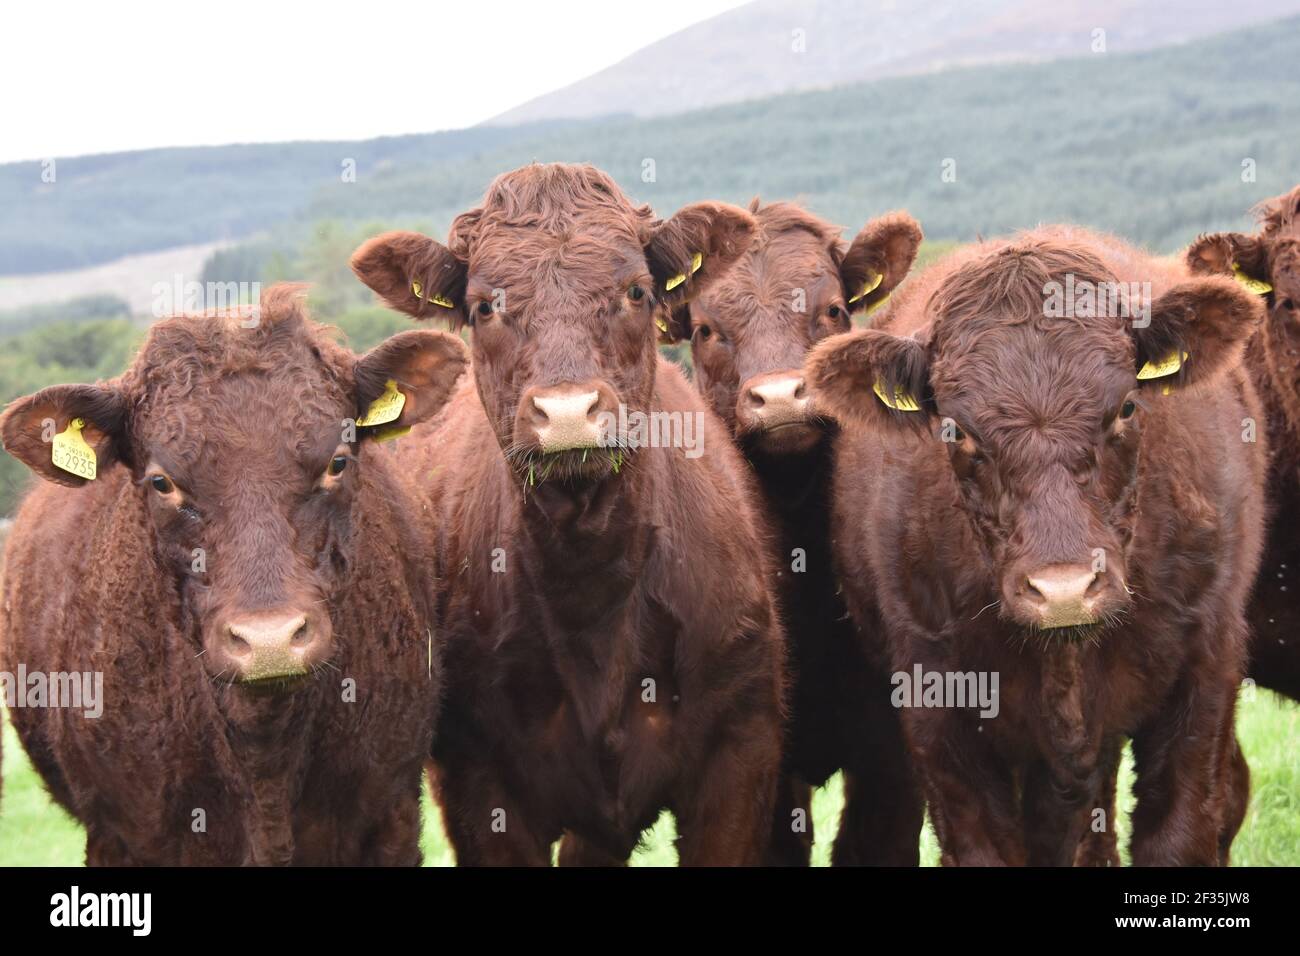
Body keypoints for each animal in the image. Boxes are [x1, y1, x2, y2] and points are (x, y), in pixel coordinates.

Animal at [806, 227, 1264, 865]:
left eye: (1127, 406)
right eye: (956, 430)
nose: (1064, 590)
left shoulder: (1206, 668)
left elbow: (1177, 837)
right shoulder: (935, 701)